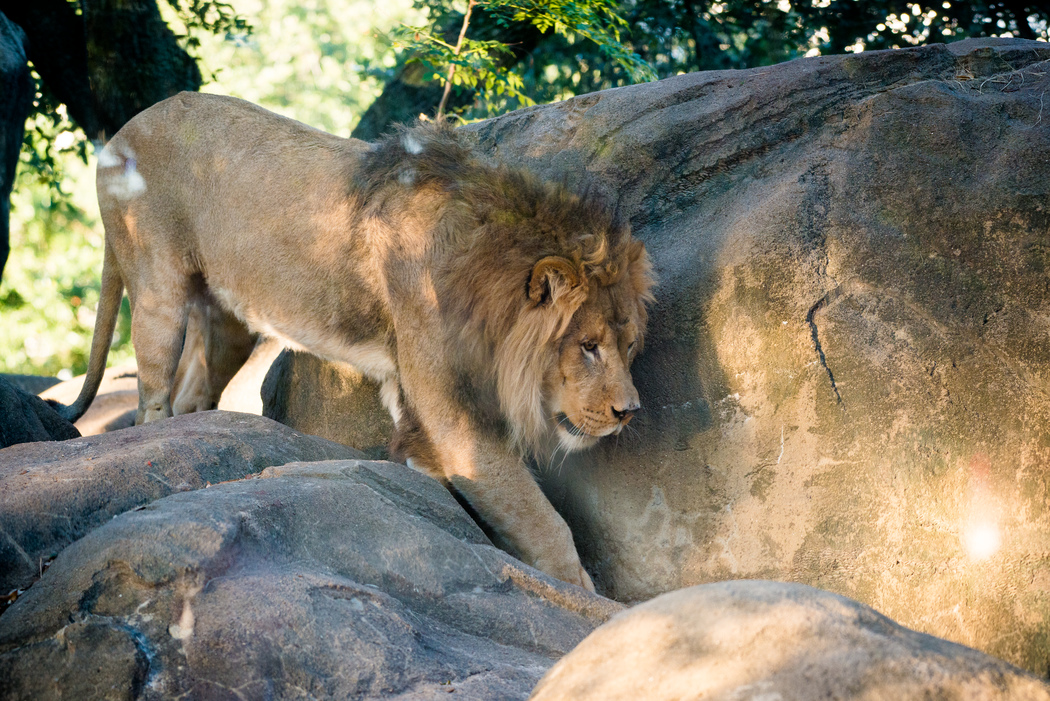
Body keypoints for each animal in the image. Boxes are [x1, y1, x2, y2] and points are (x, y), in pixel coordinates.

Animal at [60, 92, 655, 590]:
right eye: (588, 345)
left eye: (628, 348)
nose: (629, 412)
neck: (480, 273)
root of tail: (121, 133)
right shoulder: (450, 411)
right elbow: (542, 520)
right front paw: (589, 604)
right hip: (156, 283)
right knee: (152, 398)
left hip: (227, 320)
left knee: (192, 391)